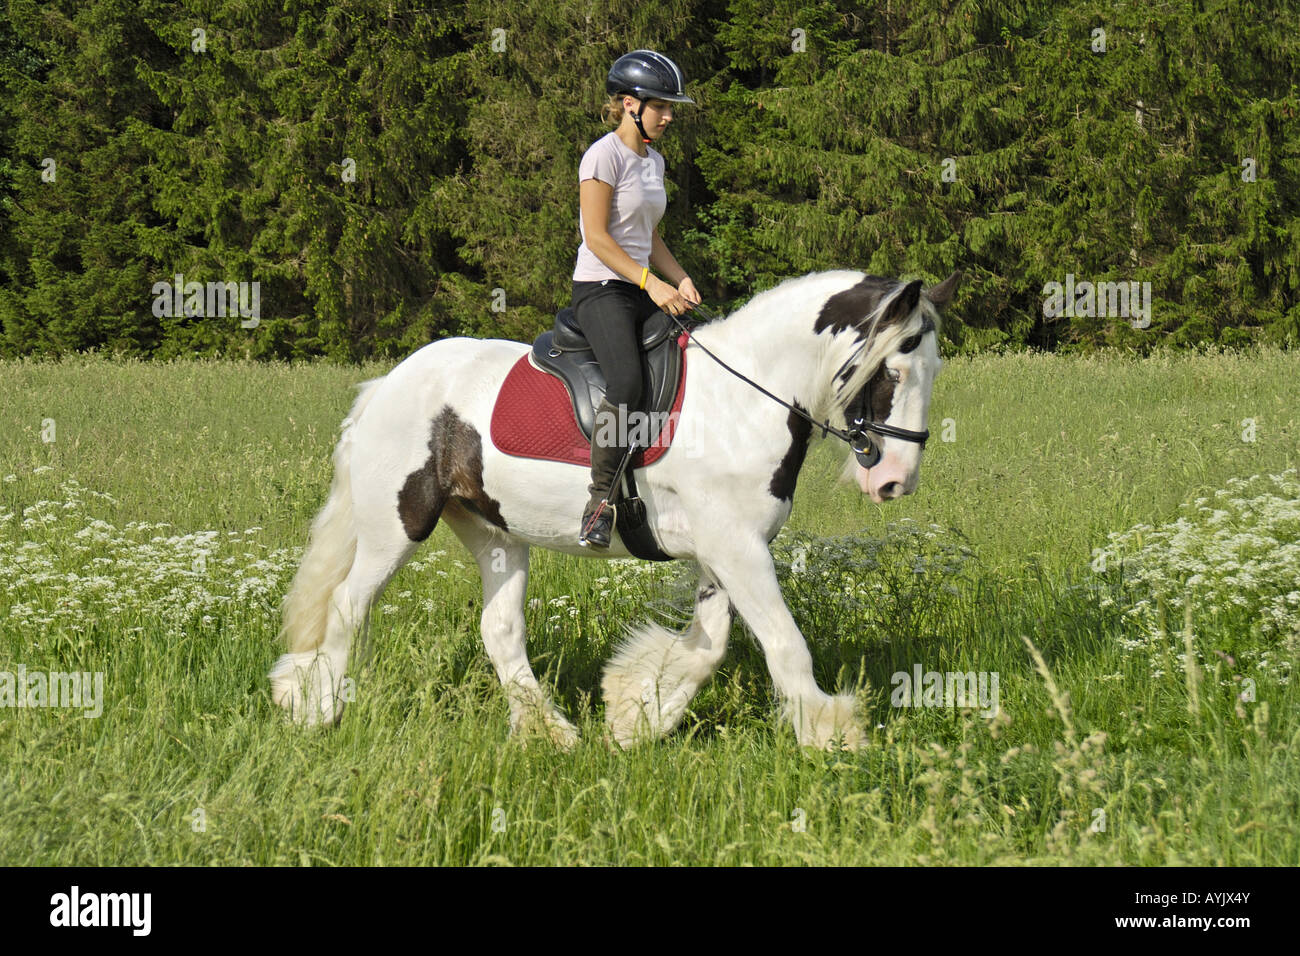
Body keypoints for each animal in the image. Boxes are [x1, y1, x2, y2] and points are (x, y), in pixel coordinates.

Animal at [269, 269, 961, 750]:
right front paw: (830, 734)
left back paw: (550, 734)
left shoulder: (725, 550)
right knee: (347, 604)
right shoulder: (736, 548)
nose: (896, 482)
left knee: (500, 631)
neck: (742, 398)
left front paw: (636, 716)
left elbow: (709, 645)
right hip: (397, 525)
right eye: (893, 370)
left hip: (497, 532)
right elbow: (785, 644)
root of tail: (387, 383)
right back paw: (317, 709)